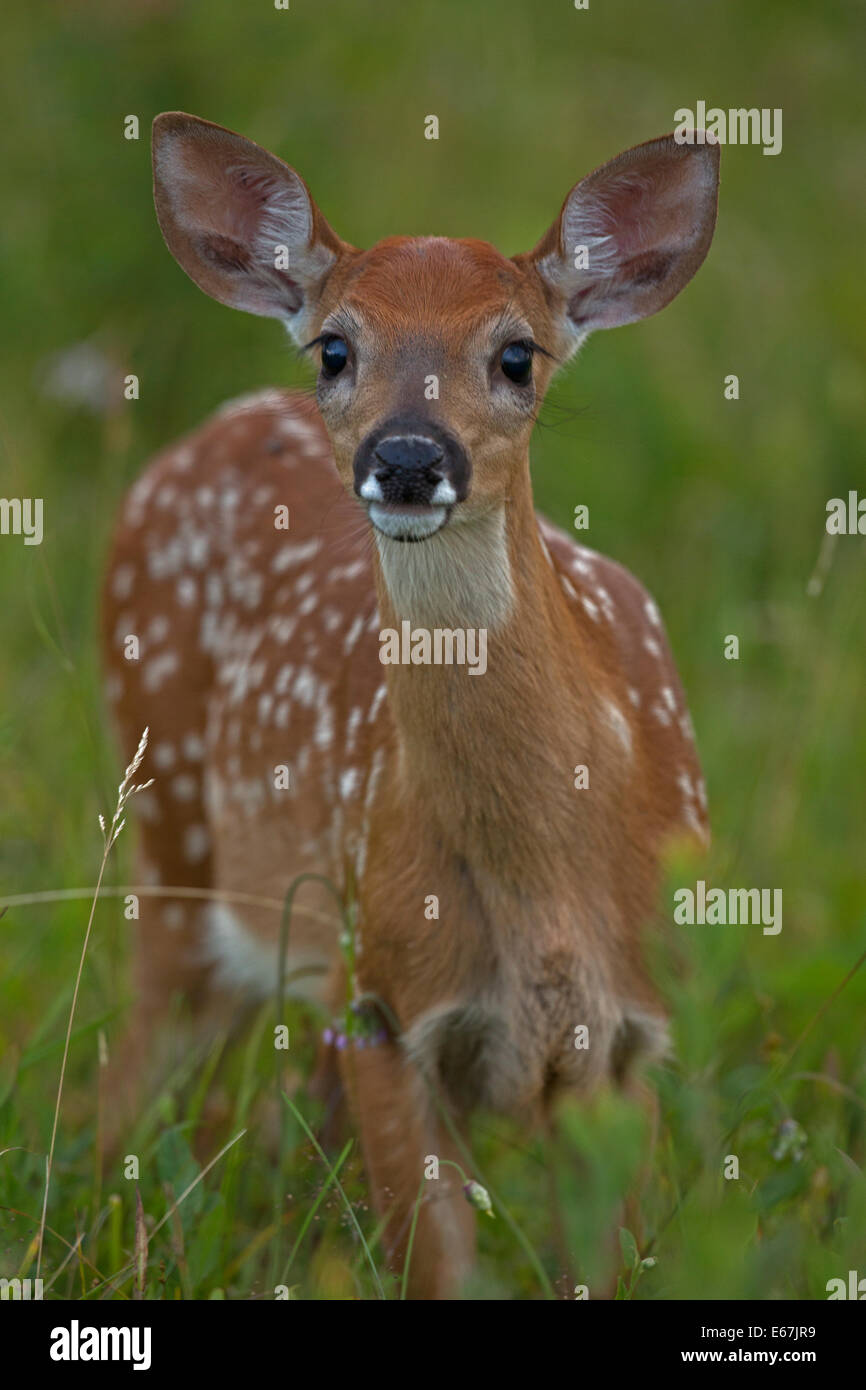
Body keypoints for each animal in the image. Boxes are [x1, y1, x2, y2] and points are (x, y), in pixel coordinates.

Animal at [102, 113, 719, 1299]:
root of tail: (212, 427)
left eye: (516, 354)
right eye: (335, 349)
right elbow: (432, 1265)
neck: (544, 881)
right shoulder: (388, 1004)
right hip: (169, 837)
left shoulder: (632, 1034)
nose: (404, 457)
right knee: (122, 1084)